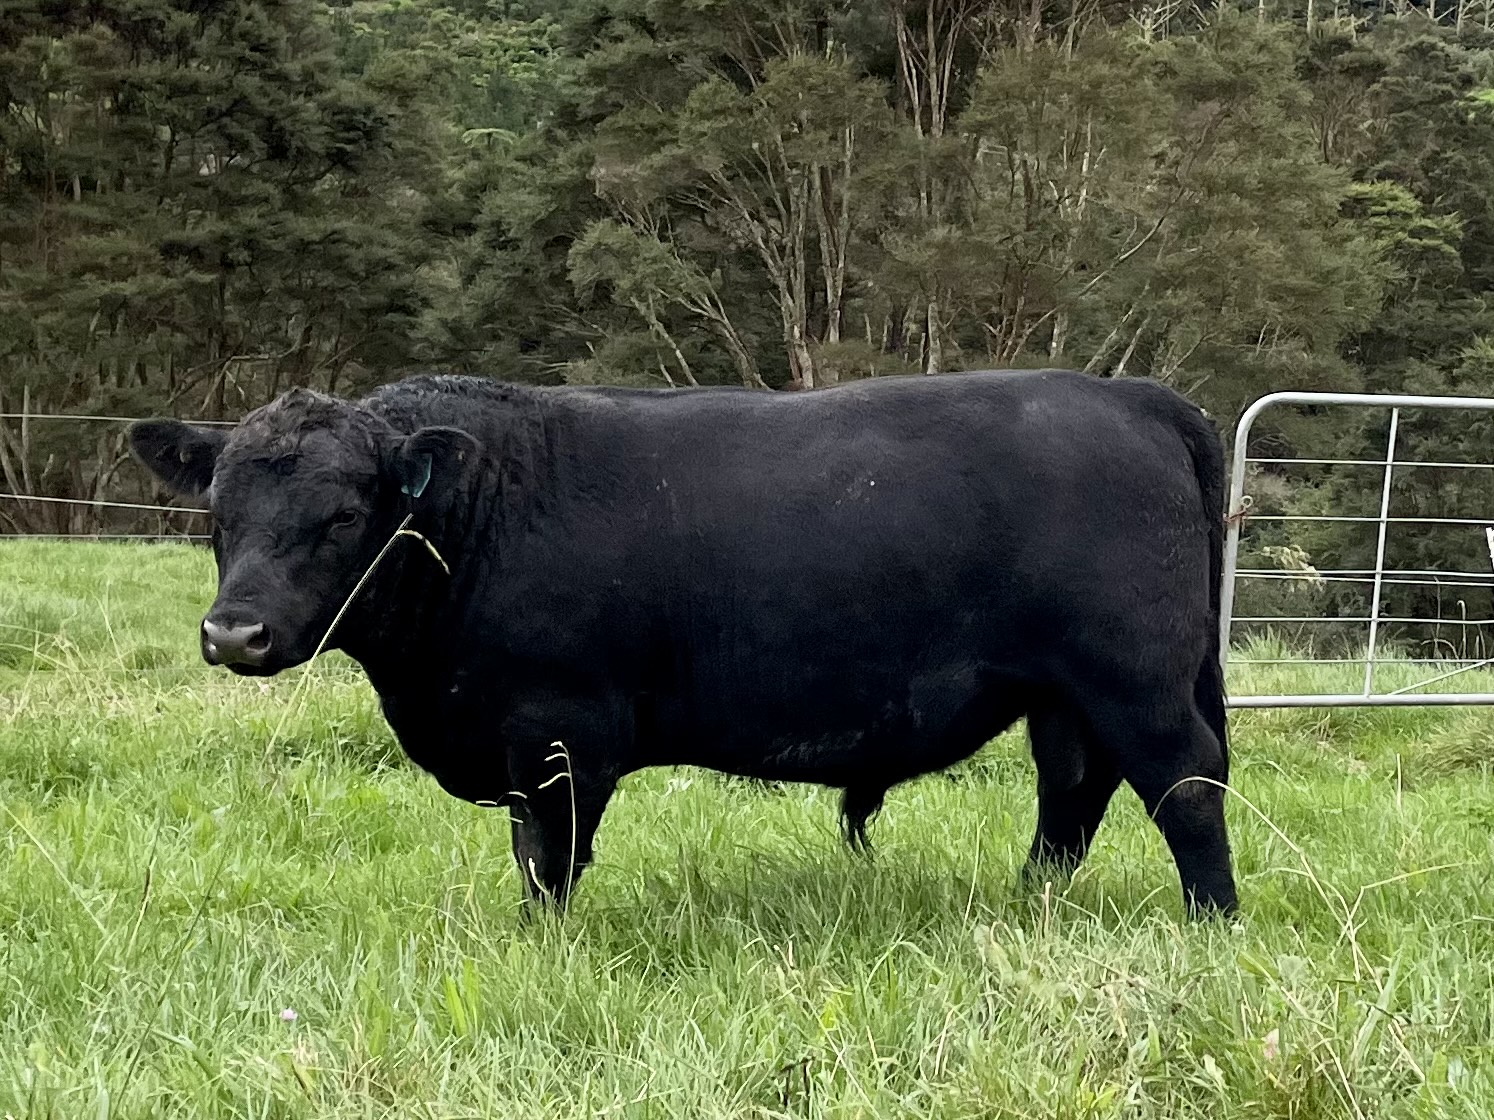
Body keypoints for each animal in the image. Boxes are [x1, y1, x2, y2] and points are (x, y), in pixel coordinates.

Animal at [129, 370, 1237, 917]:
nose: (235, 632)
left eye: (345, 514)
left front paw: (543, 950)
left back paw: (1212, 920)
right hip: (1064, 692)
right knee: (1073, 793)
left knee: (1184, 783)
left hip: (1134, 679)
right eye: (218, 509)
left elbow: (549, 863)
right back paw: (1029, 906)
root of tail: (1132, 394)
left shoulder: (559, 734)